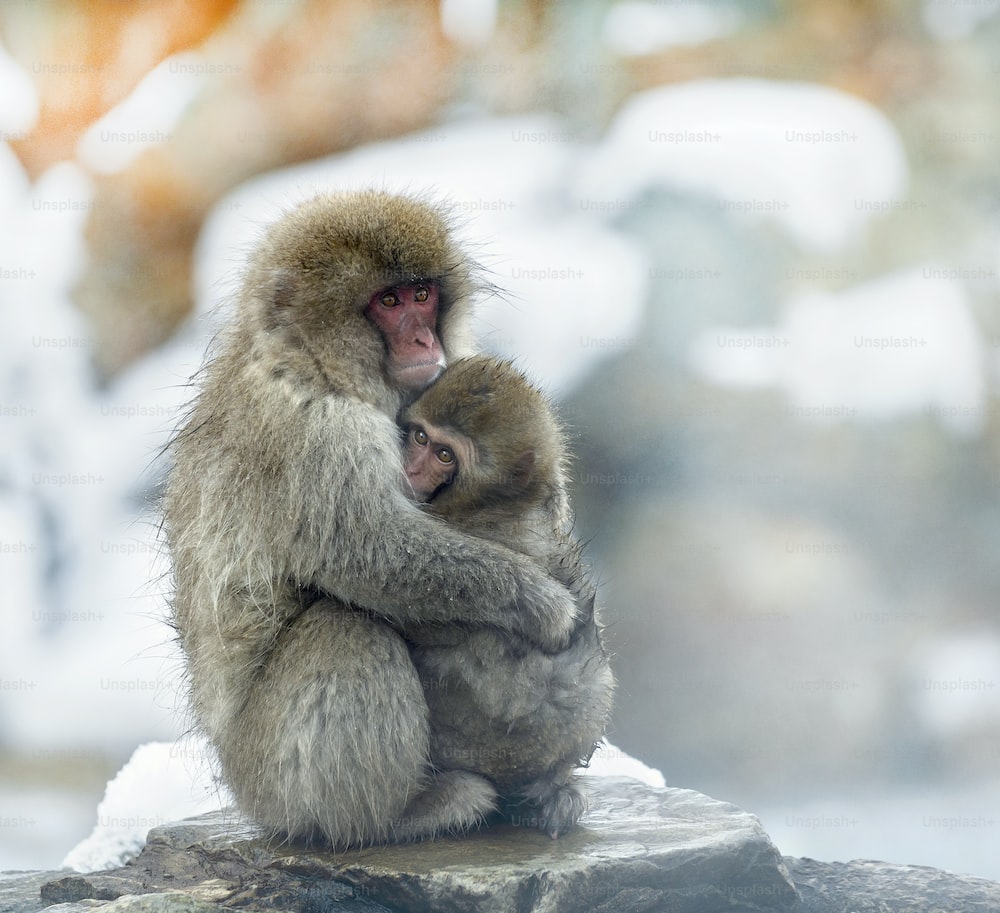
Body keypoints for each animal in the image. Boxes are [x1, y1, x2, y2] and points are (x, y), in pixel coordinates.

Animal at [163, 190, 581, 849]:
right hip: (268, 780)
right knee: (347, 626)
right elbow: (368, 552)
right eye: (388, 303)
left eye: (421, 294)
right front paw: (540, 602)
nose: (423, 341)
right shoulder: (316, 430)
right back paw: (399, 816)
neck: (315, 363)